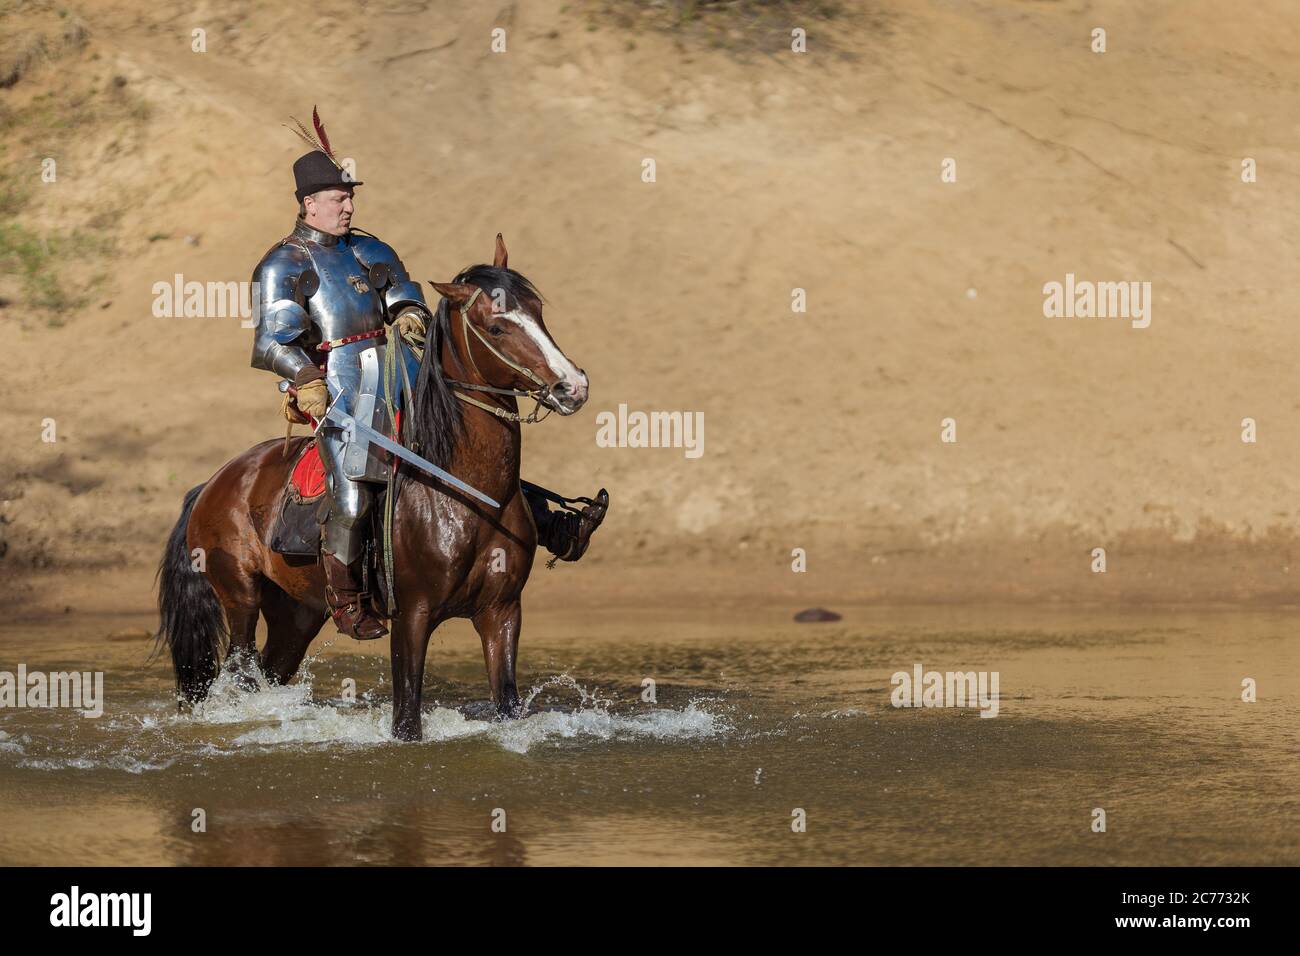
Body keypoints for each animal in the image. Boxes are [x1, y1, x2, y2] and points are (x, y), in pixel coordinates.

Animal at [155, 235, 590, 740]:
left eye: (538, 311)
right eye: (497, 328)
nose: (573, 387)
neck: (467, 495)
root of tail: (214, 482)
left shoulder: (501, 613)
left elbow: (507, 703)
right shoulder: (411, 616)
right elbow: (406, 720)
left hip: (298, 612)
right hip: (241, 598)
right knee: (242, 670)